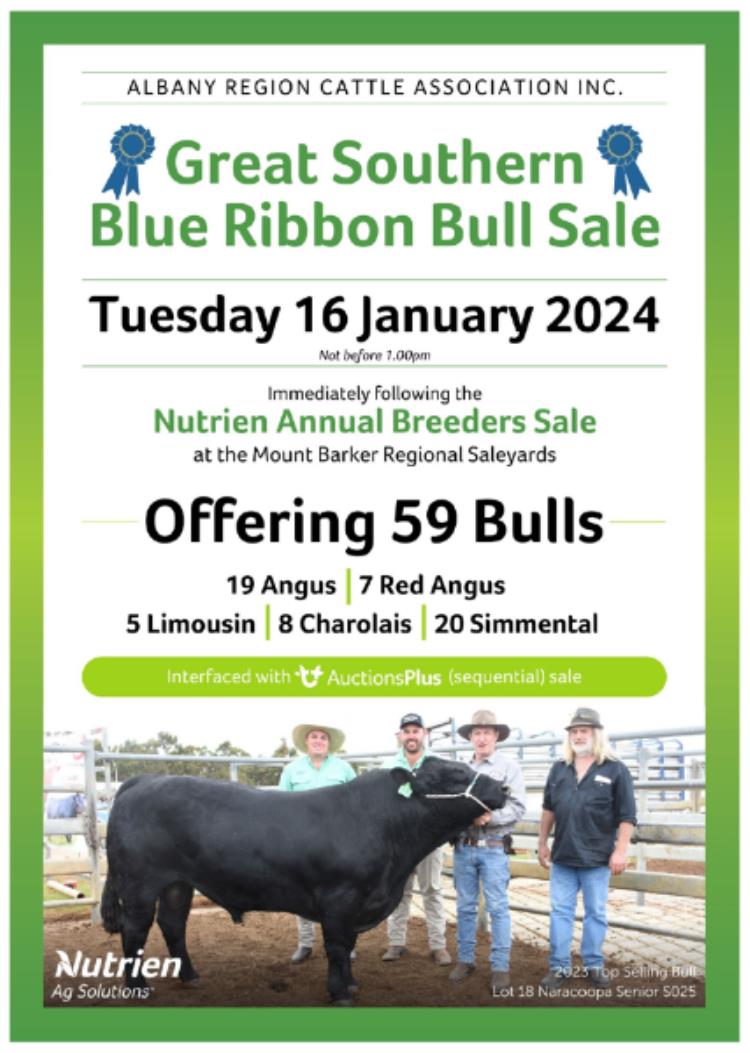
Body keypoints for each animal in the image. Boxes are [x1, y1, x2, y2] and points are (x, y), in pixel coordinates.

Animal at [101, 757, 508, 1005]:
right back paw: (139, 988)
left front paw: (351, 984)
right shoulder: (339, 898)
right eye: (454, 775)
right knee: (135, 932)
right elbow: (338, 947)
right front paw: (340, 992)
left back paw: (190, 976)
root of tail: (146, 778)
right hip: (138, 885)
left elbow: (348, 945)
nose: (503, 788)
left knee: (173, 925)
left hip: (178, 884)